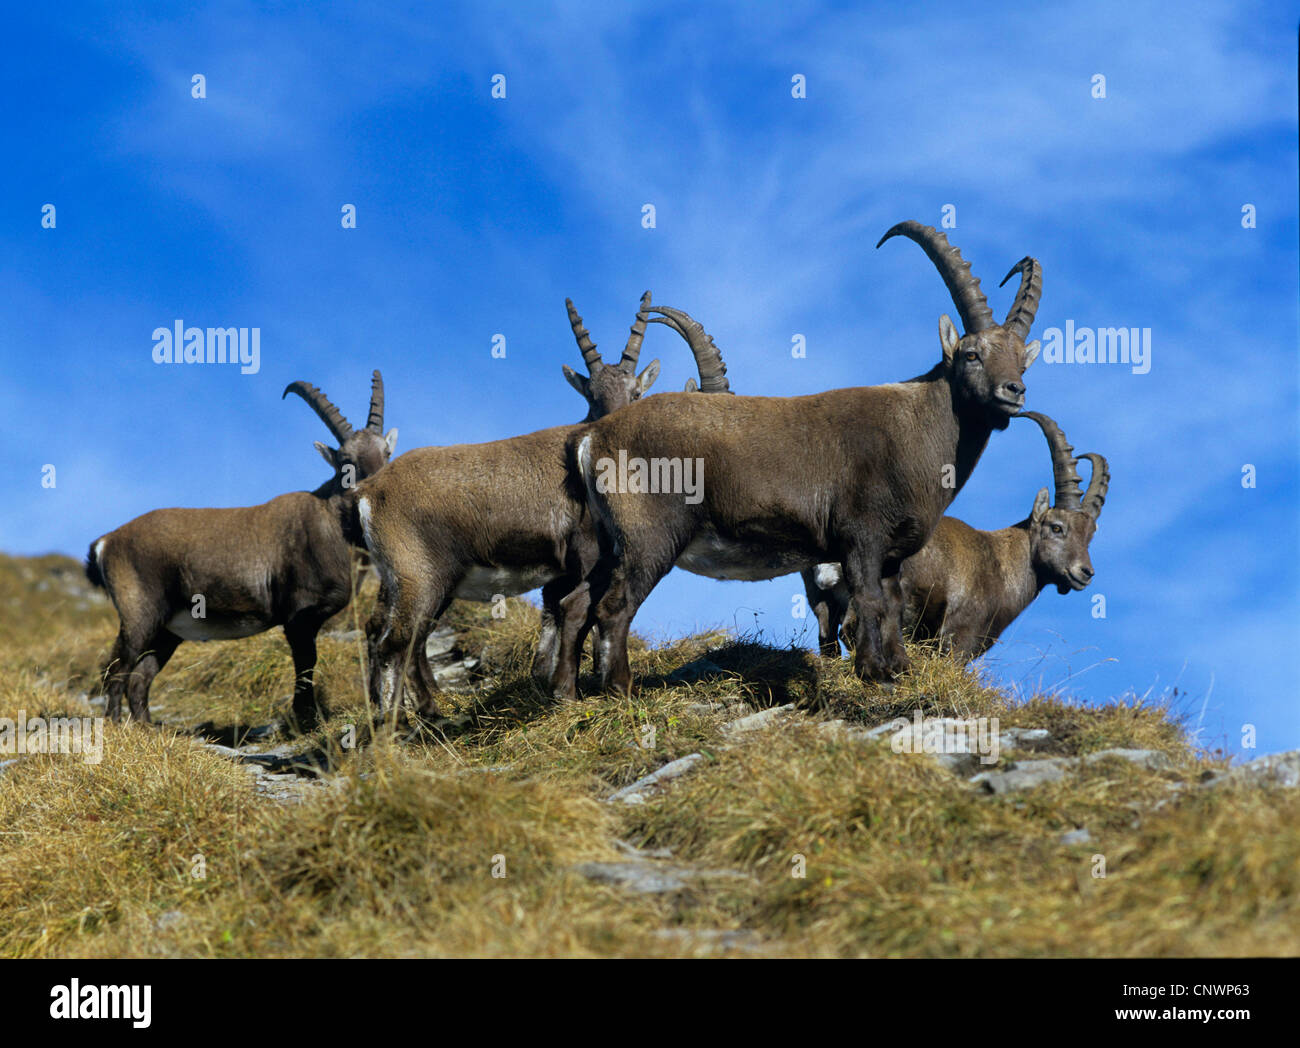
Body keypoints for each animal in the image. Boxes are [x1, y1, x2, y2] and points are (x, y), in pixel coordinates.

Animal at [86, 373, 397, 727]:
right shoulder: (298, 616)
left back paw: (147, 729)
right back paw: (114, 726)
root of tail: (108, 540)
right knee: (115, 673)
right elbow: (306, 664)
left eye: (386, 451)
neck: (330, 524)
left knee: (139, 679)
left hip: (168, 629)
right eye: (347, 461)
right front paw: (306, 721)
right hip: (139, 615)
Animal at [355, 293, 731, 714]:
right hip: (421, 577)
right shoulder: (586, 554)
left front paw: (546, 681)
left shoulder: (564, 569)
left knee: (383, 631)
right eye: (592, 396)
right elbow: (583, 613)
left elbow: (555, 616)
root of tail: (369, 491)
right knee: (399, 641)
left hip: (403, 580)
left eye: (636, 392)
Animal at [566, 221, 1043, 693]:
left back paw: (565, 694)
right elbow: (869, 601)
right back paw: (621, 691)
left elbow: (891, 607)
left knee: (576, 604)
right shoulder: (861, 536)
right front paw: (873, 673)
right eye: (972, 354)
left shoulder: (893, 555)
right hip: (649, 540)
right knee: (613, 608)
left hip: (609, 543)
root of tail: (594, 437)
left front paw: (898, 669)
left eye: (1022, 361)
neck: (918, 429)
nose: (1014, 391)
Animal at [808, 410, 1108, 661]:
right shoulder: (958, 638)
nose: (1085, 572)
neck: (1002, 563)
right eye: (1057, 527)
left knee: (828, 638)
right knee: (851, 629)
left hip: (819, 598)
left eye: (1089, 536)